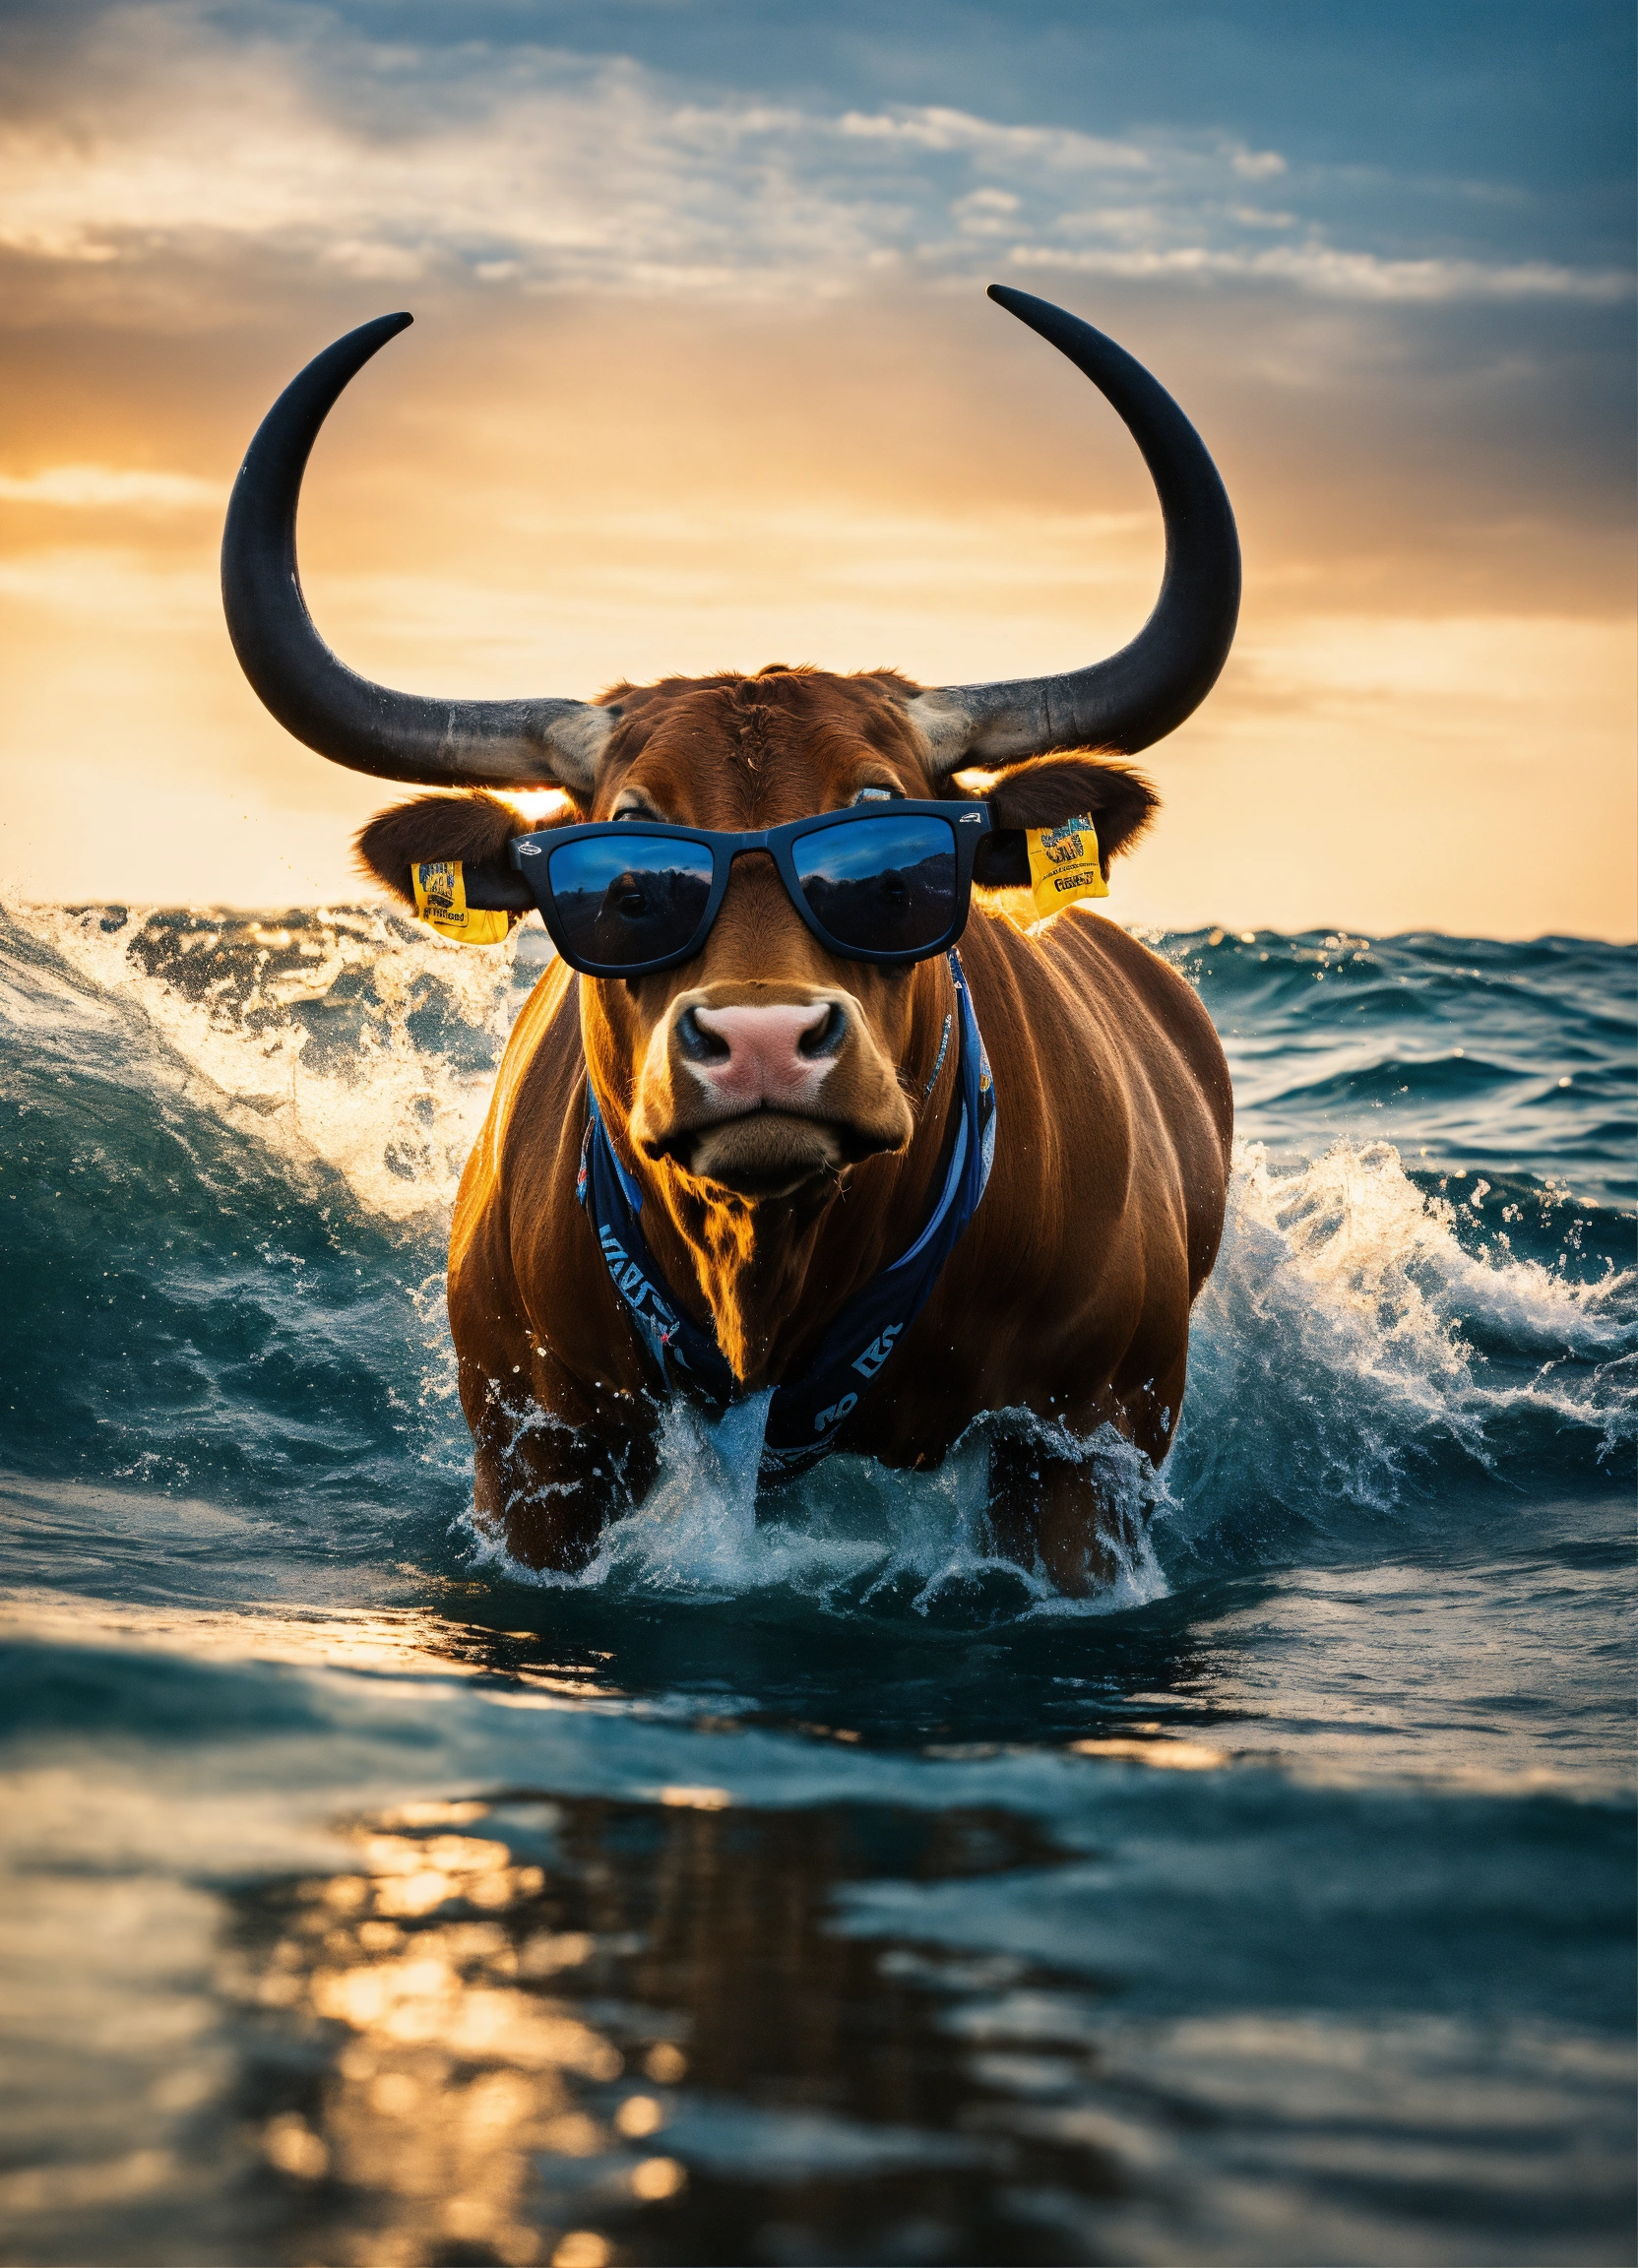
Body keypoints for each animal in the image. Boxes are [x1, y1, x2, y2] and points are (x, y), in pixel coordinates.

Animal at [221, 285, 1238, 1593]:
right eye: (626, 853)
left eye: (888, 832)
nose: (761, 1041)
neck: (769, 1273)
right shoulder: (534, 1451)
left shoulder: (1085, 1439)